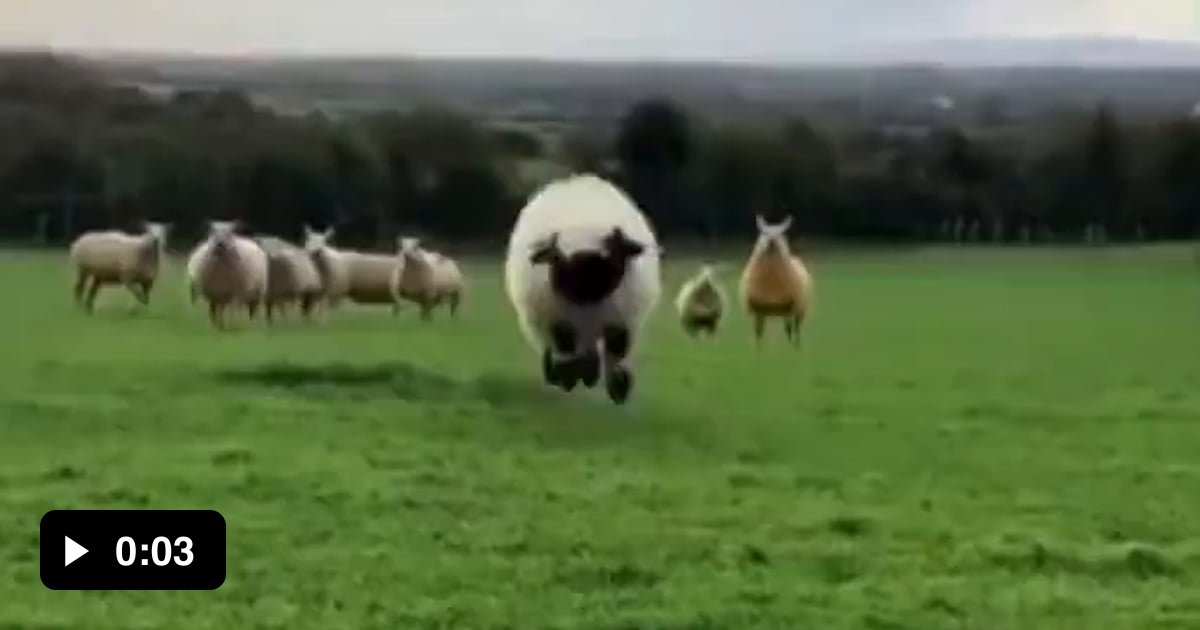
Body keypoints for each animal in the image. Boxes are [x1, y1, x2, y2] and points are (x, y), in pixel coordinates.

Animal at [504, 173, 661, 404]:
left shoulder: (620, 323)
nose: (587, 285)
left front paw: (617, 387)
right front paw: (573, 377)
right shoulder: (561, 324)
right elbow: (571, 357)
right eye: (556, 258)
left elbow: (614, 358)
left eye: (616, 250)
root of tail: (574, 180)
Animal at [738, 215, 813, 346]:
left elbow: (791, 329)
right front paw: (758, 348)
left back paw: (796, 345)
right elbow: (758, 332)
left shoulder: (791, 306)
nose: (771, 242)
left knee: (794, 328)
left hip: (799, 309)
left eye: (781, 234)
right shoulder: (758, 308)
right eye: (764, 233)